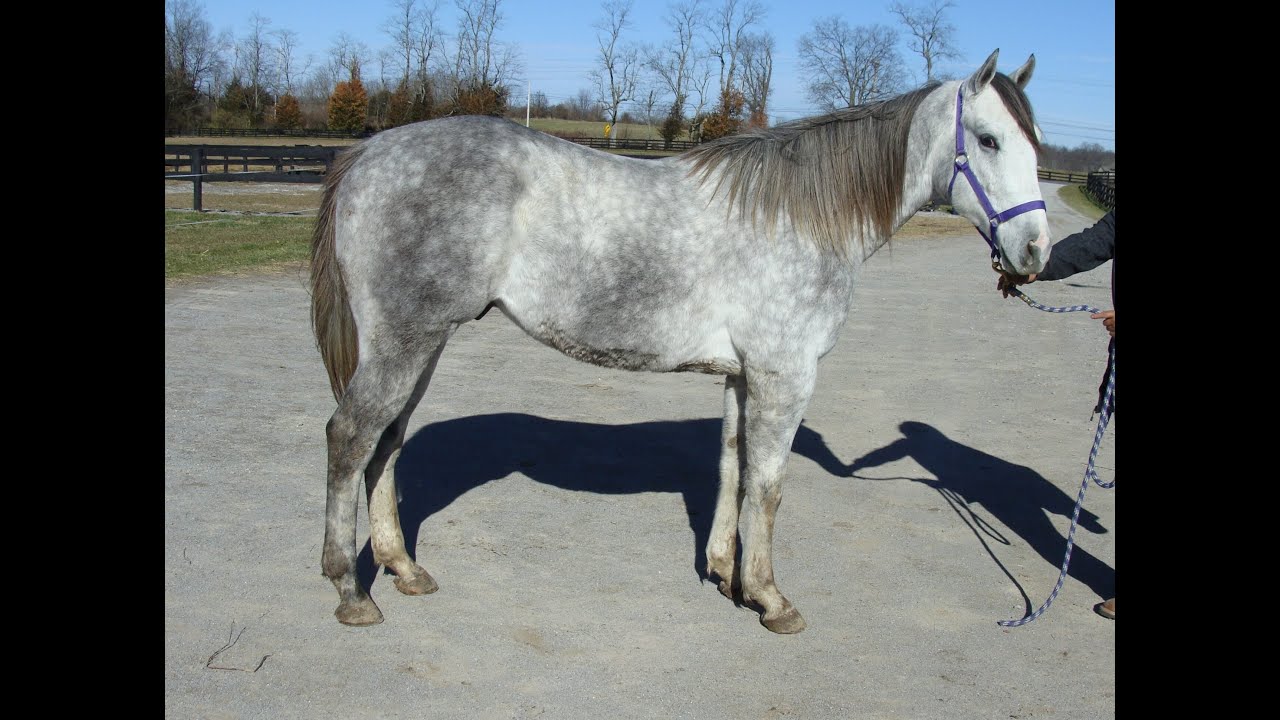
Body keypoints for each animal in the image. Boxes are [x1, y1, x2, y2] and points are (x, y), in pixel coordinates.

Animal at [310, 49, 1050, 633]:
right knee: (350, 436)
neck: (801, 218)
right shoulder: (785, 376)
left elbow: (731, 468)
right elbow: (770, 484)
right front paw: (772, 599)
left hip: (423, 342)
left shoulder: (740, 376)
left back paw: (404, 568)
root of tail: (370, 152)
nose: (1035, 251)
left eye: (1034, 143)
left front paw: (726, 576)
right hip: (405, 339)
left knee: (388, 442)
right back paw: (351, 591)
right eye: (988, 140)